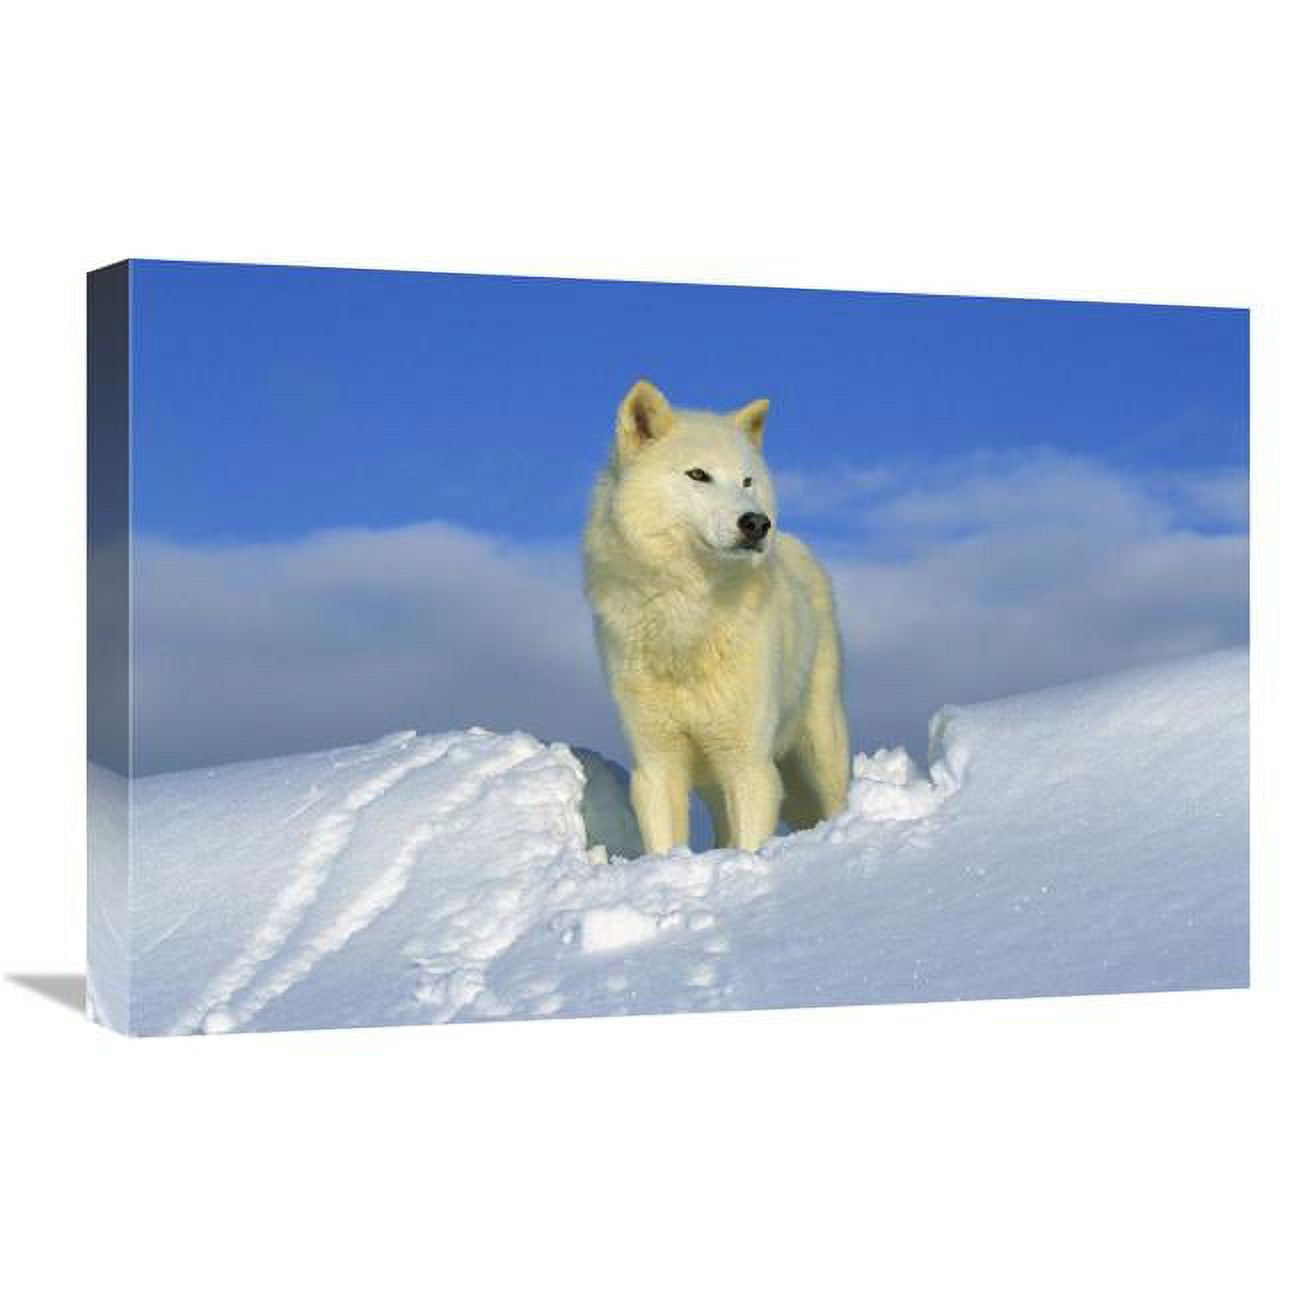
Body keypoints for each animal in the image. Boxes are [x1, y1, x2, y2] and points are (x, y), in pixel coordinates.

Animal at [583, 379, 850, 854]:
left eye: (747, 481)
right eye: (698, 475)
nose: (757, 523)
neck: (687, 614)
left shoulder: (749, 764)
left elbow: (749, 843)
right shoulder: (656, 765)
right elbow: (664, 843)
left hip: (820, 740)